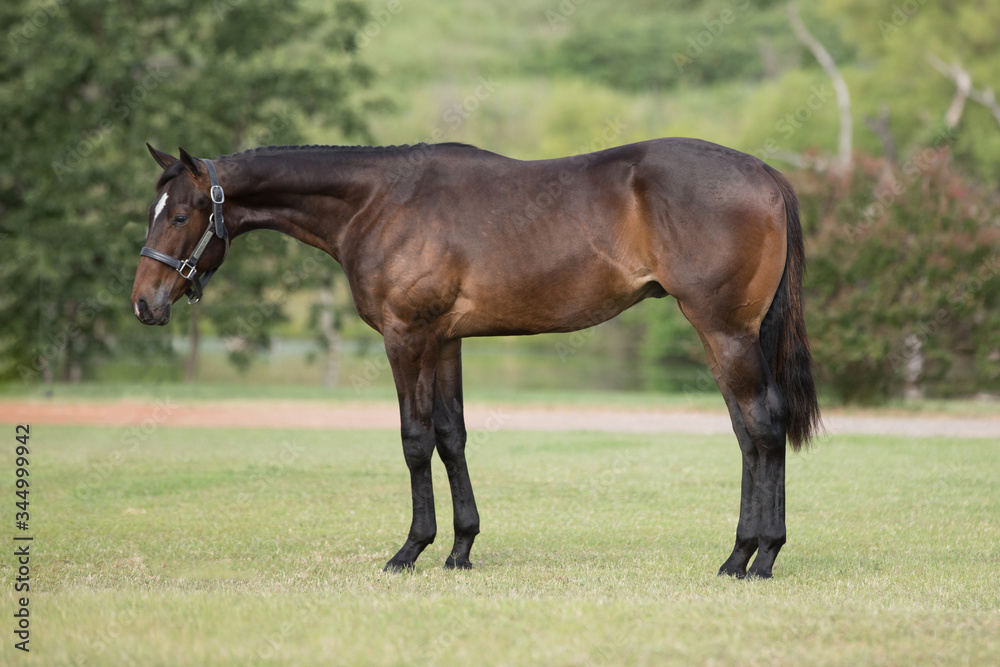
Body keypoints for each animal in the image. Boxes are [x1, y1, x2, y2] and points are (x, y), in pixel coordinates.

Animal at [131, 138, 820, 579]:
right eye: (155, 211)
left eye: (184, 213)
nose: (144, 302)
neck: (379, 200)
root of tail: (763, 173)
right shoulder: (444, 342)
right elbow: (451, 437)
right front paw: (461, 549)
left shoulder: (405, 337)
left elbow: (414, 440)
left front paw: (411, 549)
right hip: (729, 337)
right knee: (749, 434)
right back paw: (741, 555)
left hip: (723, 331)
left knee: (764, 426)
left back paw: (757, 558)